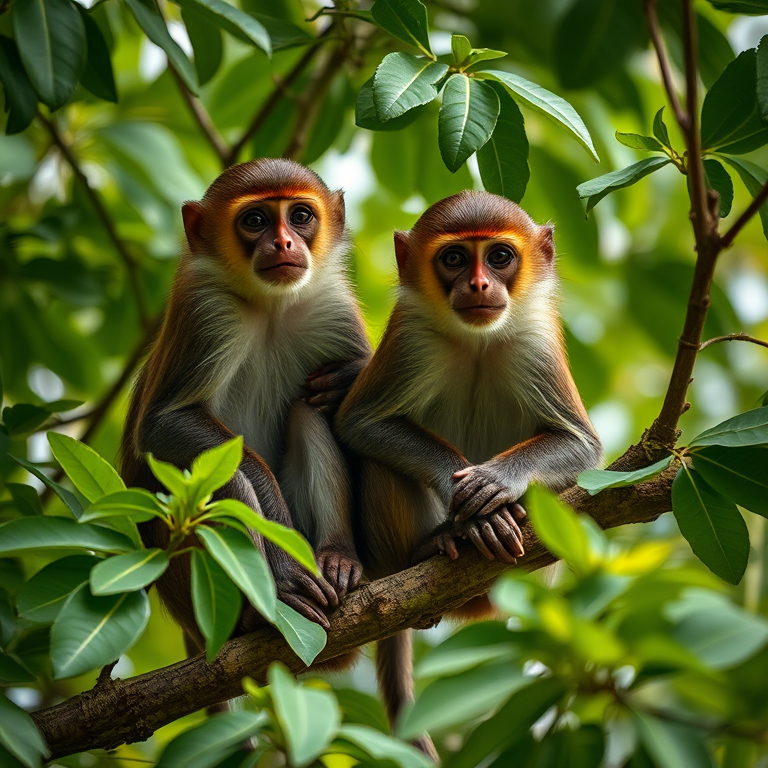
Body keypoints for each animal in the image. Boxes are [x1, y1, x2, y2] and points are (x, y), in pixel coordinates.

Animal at [120, 158, 372, 654]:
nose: (284, 242)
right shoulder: (206, 310)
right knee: (224, 479)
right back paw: (264, 609)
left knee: (306, 411)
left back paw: (337, 555)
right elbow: (162, 425)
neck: (270, 305)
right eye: (255, 220)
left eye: (300, 216)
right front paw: (284, 562)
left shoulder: (333, 306)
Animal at [336, 191, 602, 755]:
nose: (479, 284)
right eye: (455, 258)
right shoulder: (410, 333)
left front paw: (498, 486)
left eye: (499, 257)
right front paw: (469, 501)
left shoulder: (536, 339)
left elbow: (581, 447)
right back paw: (435, 544)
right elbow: (361, 423)